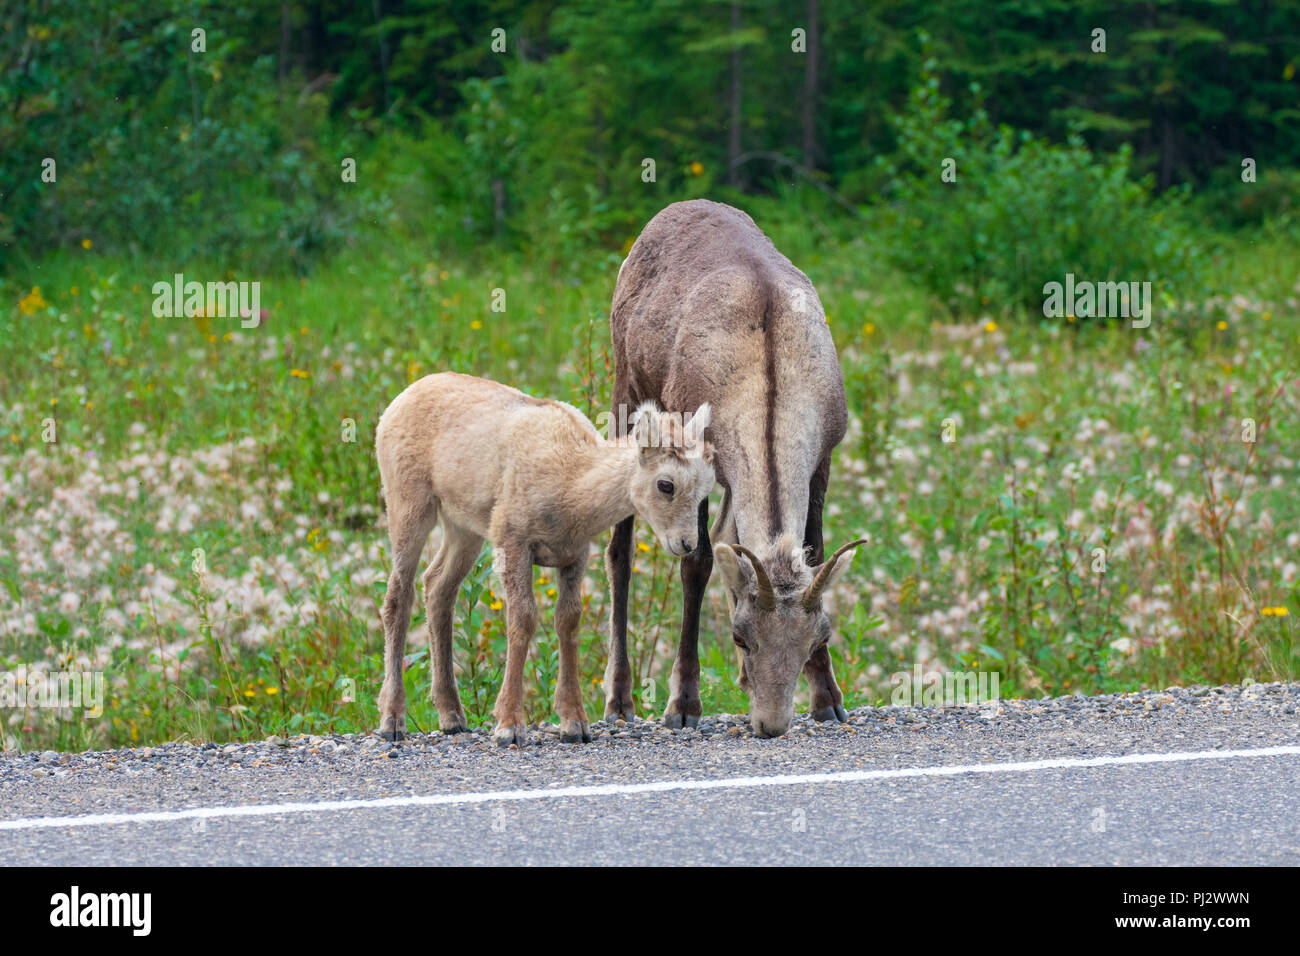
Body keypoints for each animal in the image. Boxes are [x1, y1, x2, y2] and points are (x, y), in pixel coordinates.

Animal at [375, 371, 714, 746]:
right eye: (665, 484)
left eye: (705, 489)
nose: (685, 543)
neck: (571, 485)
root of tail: (400, 400)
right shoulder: (513, 543)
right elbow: (522, 619)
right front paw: (509, 727)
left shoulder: (575, 555)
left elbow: (568, 621)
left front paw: (574, 724)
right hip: (410, 506)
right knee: (398, 599)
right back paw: (393, 721)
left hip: (463, 529)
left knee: (437, 589)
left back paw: (452, 717)